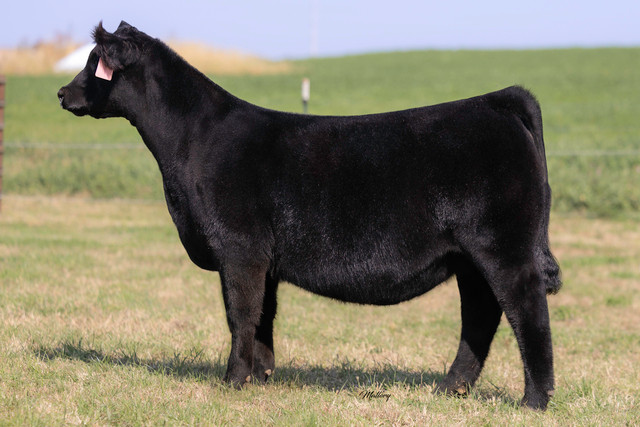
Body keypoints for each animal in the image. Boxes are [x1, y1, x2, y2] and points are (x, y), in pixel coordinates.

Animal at [58, 22, 561, 410]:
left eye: (93, 62)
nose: (61, 92)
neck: (190, 145)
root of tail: (497, 101)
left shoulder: (239, 248)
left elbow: (240, 313)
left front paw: (232, 380)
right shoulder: (264, 258)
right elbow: (263, 316)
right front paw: (260, 377)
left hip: (504, 247)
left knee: (526, 312)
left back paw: (533, 401)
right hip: (469, 259)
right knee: (480, 316)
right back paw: (449, 389)